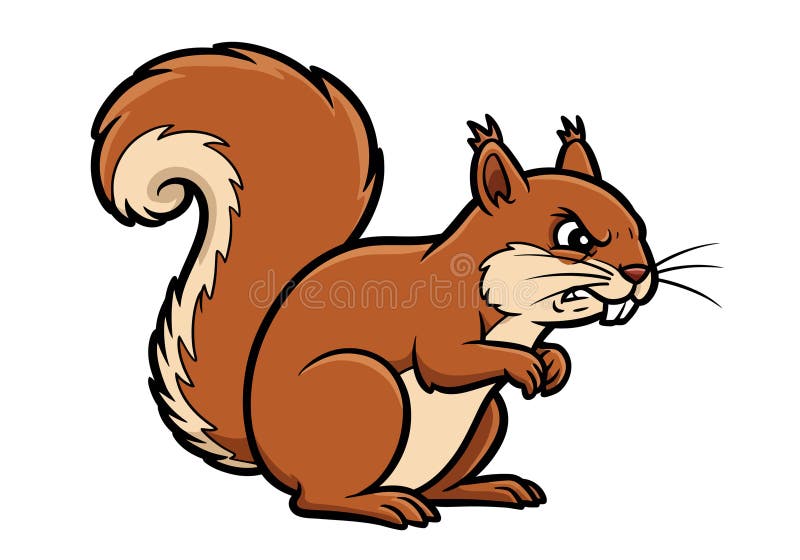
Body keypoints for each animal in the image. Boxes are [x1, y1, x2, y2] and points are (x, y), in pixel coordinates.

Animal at [91, 43, 657, 529]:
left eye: (639, 225)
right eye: (572, 237)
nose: (639, 275)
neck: (517, 317)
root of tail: (267, 454)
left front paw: (555, 362)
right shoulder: (437, 313)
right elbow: (445, 361)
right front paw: (525, 365)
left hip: (487, 417)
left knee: (436, 485)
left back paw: (484, 488)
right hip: (365, 391)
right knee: (311, 499)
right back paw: (383, 505)